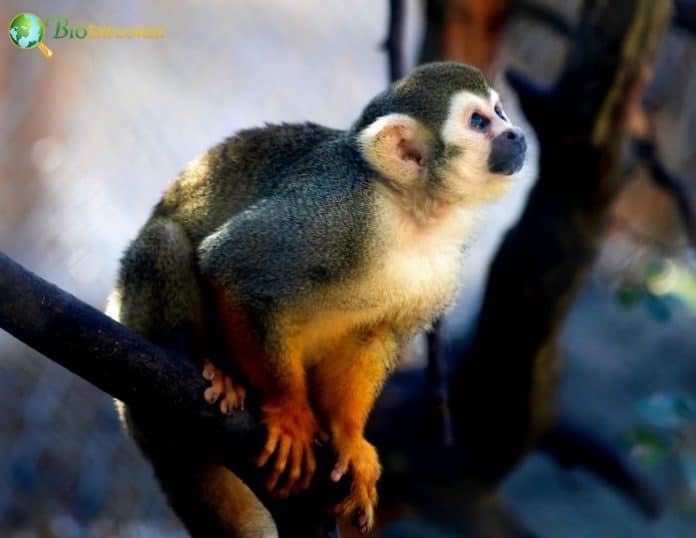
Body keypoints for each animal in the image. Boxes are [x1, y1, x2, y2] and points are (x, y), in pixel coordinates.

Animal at [107, 61, 527, 537]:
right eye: (479, 122)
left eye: (500, 111)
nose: (515, 134)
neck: (408, 210)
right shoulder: (335, 210)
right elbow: (235, 267)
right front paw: (290, 412)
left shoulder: (440, 268)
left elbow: (374, 339)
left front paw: (348, 436)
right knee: (165, 239)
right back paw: (203, 362)